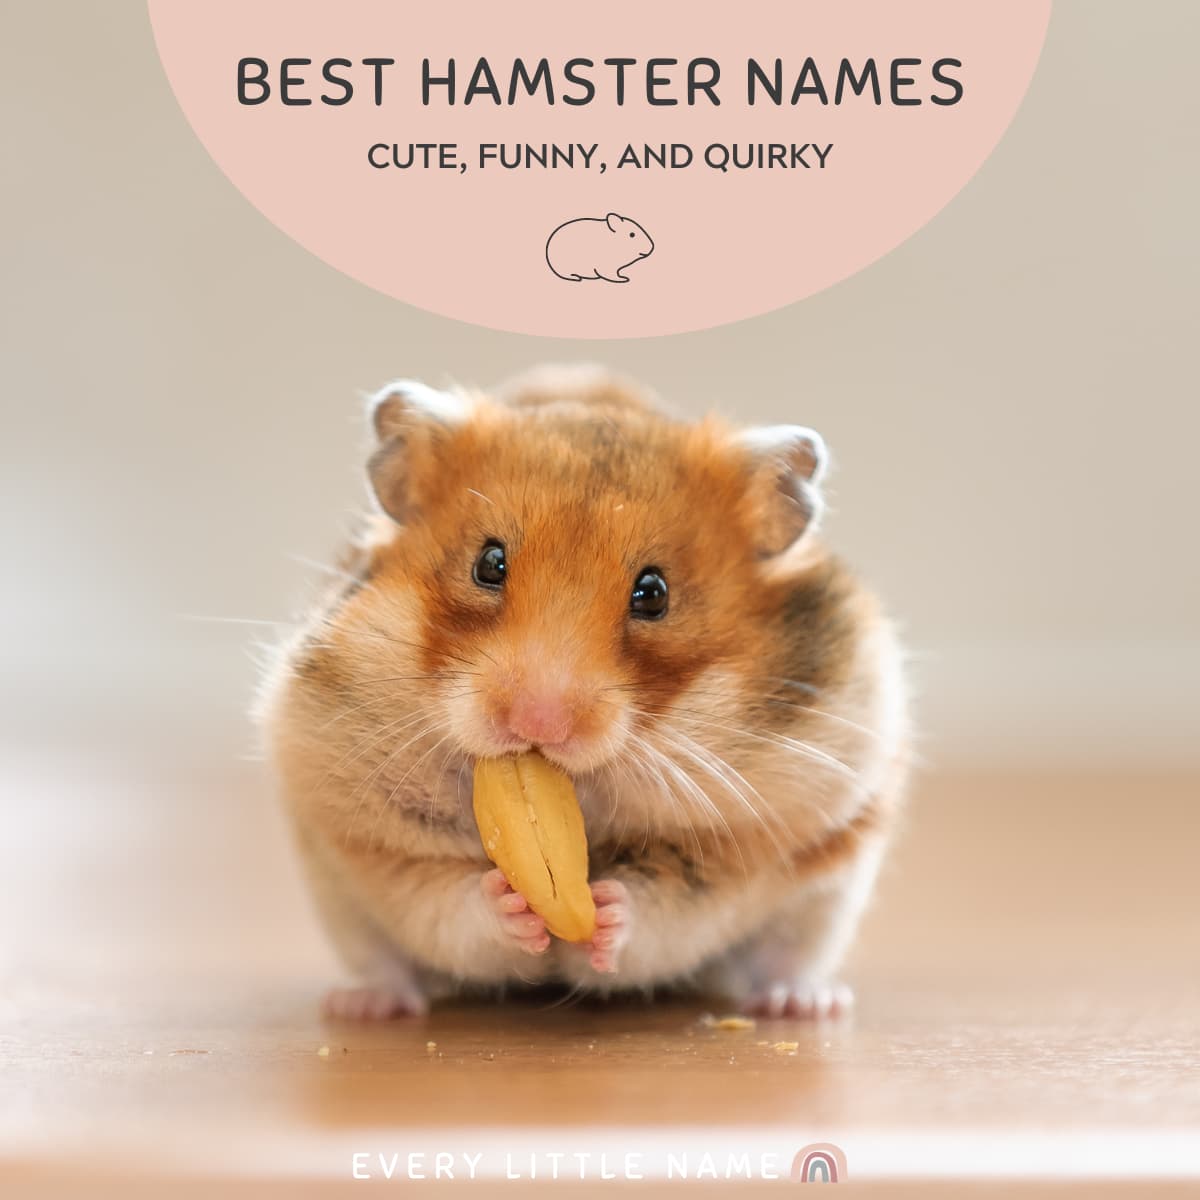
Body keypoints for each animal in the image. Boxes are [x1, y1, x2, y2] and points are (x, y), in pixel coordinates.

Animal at [259, 365, 908, 1020]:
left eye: (654, 593)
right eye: (488, 563)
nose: (537, 725)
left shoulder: (743, 845)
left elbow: (667, 907)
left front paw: (606, 911)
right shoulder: (372, 837)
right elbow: (448, 900)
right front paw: (511, 903)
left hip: (826, 898)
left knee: (783, 959)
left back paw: (804, 1004)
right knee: (383, 961)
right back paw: (364, 1006)